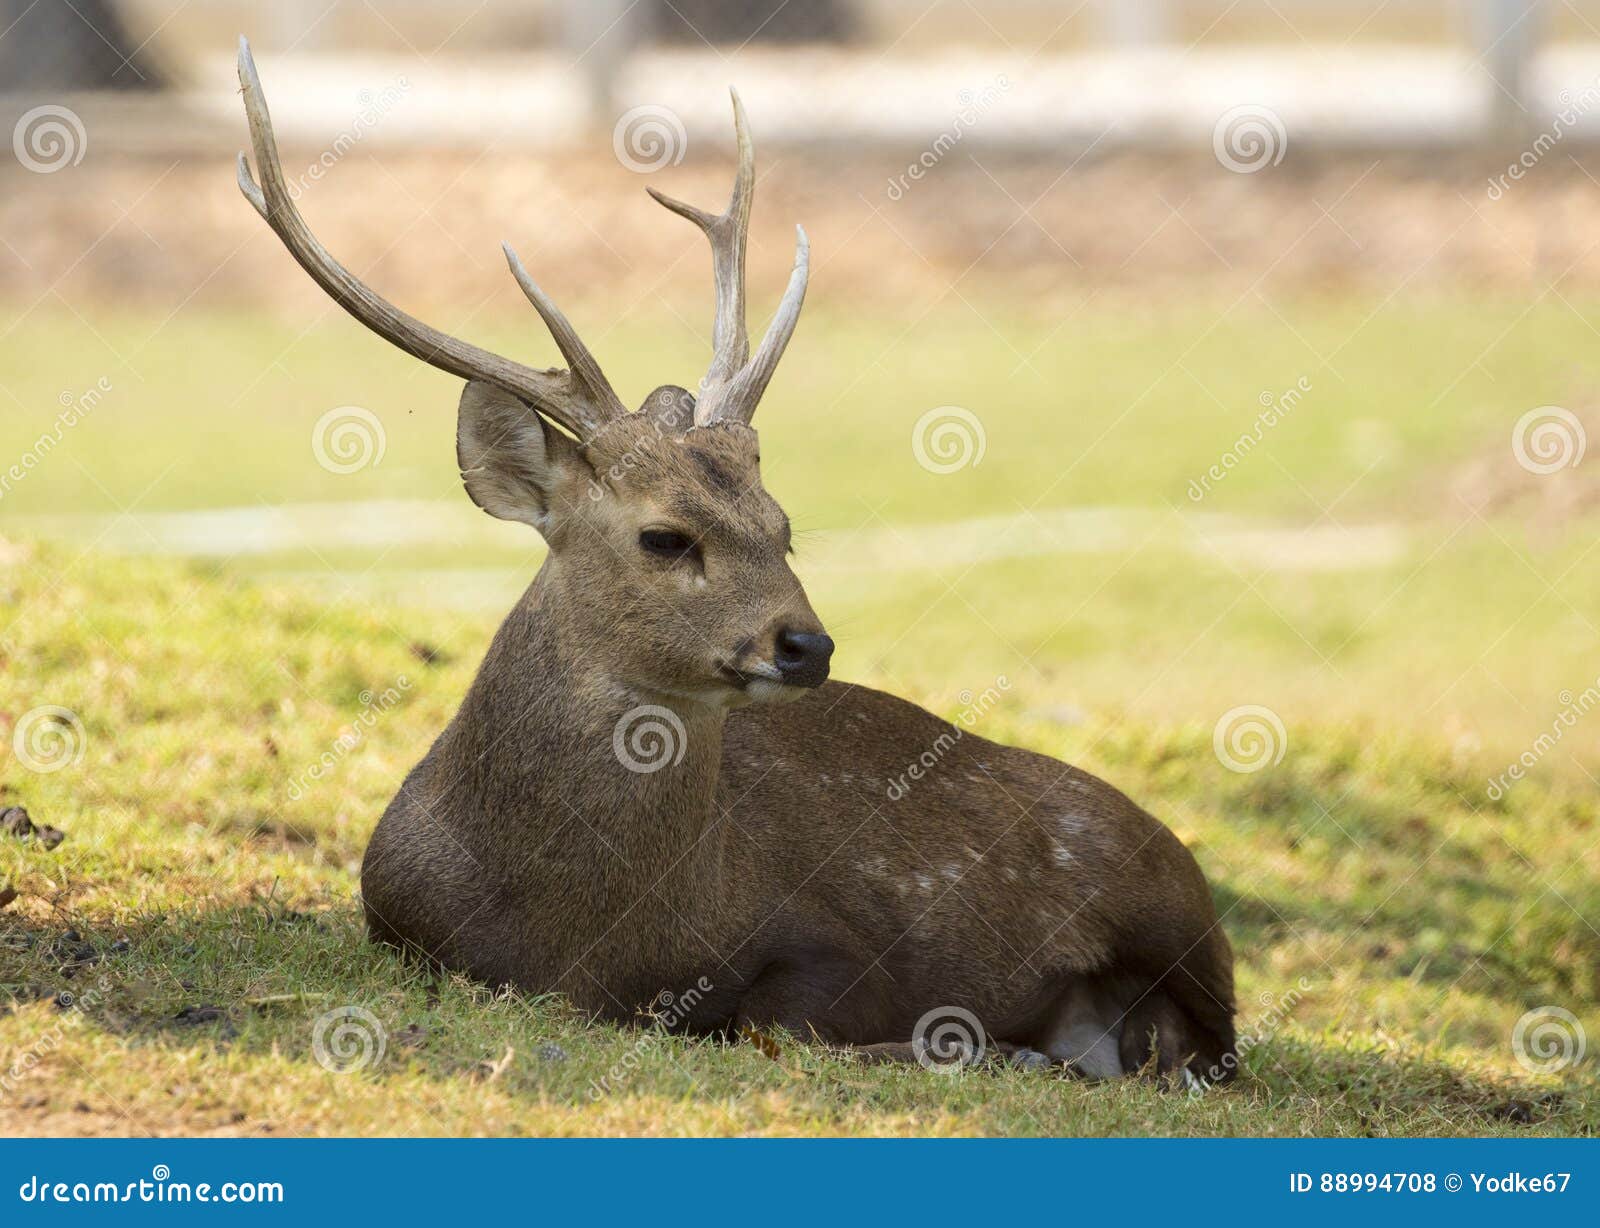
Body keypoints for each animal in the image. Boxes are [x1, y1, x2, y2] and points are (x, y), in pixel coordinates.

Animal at [235, 38, 1236, 1082]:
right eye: (666, 536)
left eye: (782, 525)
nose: (807, 646)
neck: (578, 947)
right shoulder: (395, 918)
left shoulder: (828, 937)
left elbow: (779, 1020)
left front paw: (969, 1044)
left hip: (1173, 901)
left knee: (1215, 1047)